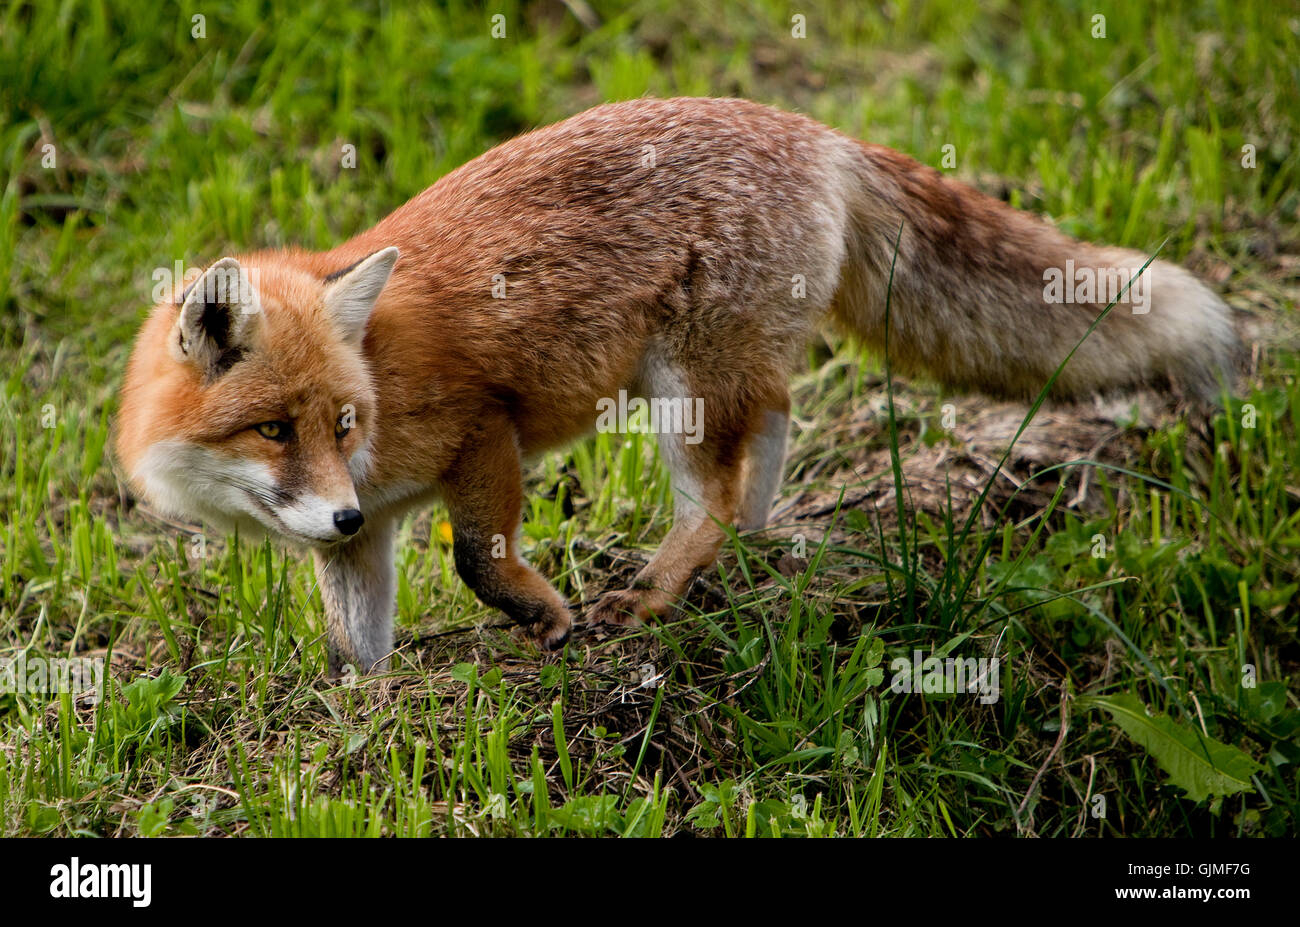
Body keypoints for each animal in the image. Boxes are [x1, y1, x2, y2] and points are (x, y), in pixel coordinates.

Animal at [114, 96, 1237, 675]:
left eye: (341, 422)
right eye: (274, 429)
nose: (341, 509)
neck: (382, 386)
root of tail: (811, 128)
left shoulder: (481, 433)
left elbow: (480, 556)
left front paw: (544, 619)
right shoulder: (363, 535)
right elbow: (357, 645)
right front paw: (365, 709)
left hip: (685, 388)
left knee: (716, 494)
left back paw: (657, 590)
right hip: (728, 375)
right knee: (772, 432)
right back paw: (759, 545)